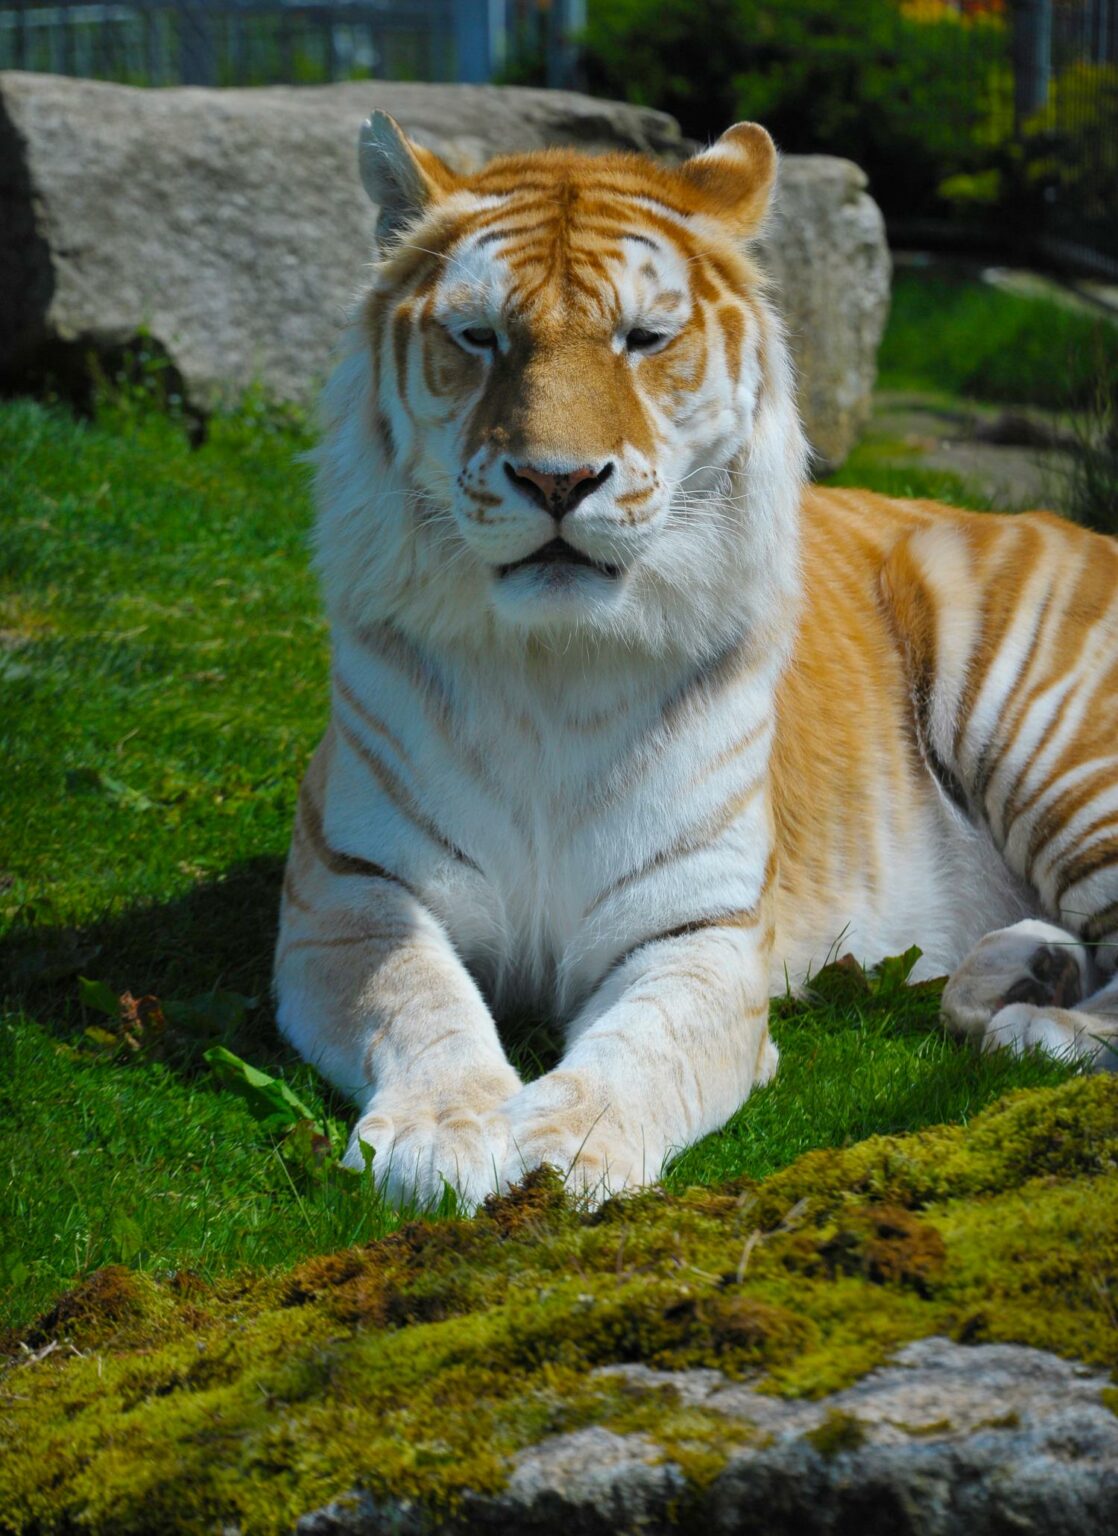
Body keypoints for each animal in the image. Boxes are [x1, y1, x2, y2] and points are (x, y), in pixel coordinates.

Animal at [274, 111, 1118, 1205]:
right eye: (480, 336)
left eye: (643, 339)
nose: (557, 480)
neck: (551, 666)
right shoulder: (351, 888)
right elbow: (416, 999)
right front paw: (440, 1134)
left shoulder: (700, 927)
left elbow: (646, 1046)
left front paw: (562, 1150)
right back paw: (1024, 977)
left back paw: (1037, 1018)